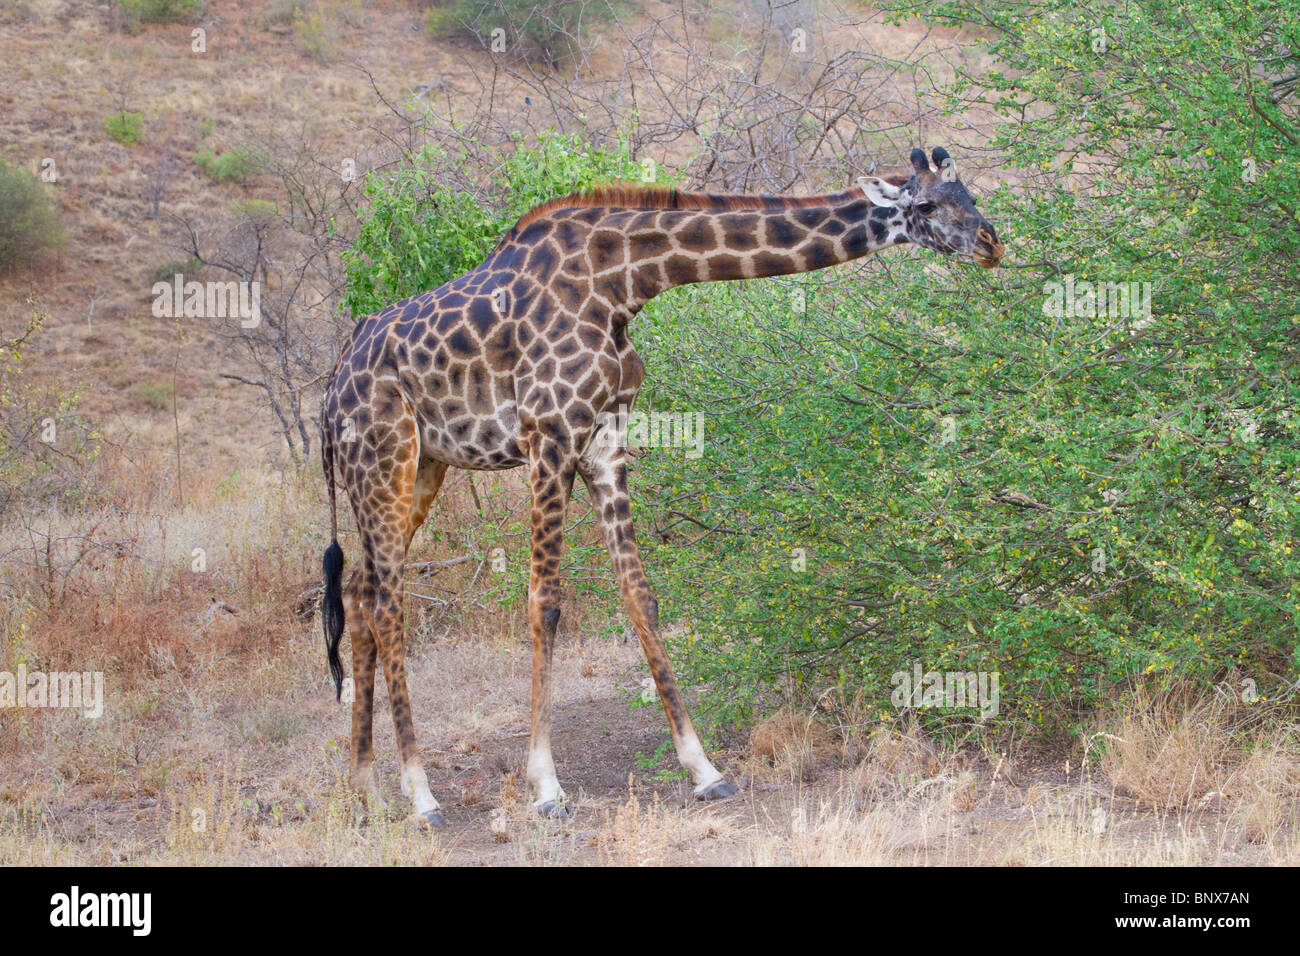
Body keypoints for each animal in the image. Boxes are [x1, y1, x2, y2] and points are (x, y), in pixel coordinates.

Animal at [319, 146, 1004, 826]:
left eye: (969, 193)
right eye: (926, 204)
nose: (991, 243)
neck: (621, 281)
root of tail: (329, 392)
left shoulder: (603, 442)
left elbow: (640, 595)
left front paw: (705, 770)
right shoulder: (550, 434)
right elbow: (545, 601)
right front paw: (546, 785)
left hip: (420, 470)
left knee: (359, 592)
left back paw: (365, 789)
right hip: (385, 460)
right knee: (388, 603)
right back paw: (420, 795)